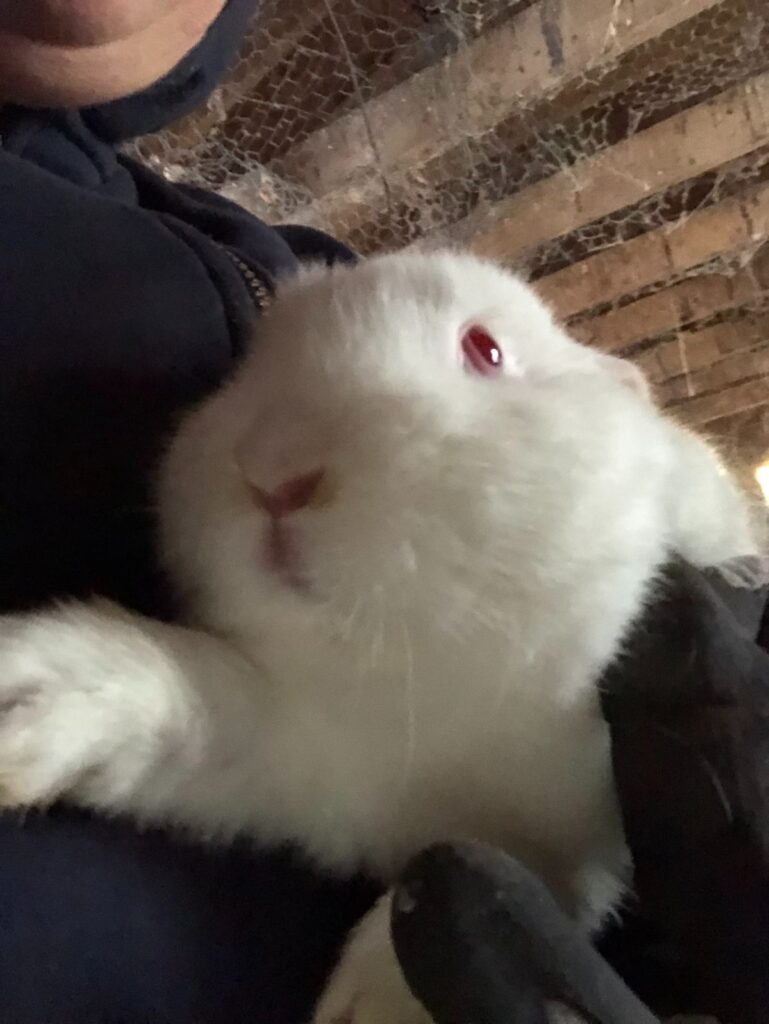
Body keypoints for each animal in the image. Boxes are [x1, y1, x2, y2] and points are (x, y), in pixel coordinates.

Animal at [0, 250, 760, 1024]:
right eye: (255, 363)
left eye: (484, 349)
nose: (273, 470)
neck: (419, 656)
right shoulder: (303, 745)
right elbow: (201, 704)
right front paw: (26, 702)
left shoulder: (573, 825)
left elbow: (503, 867)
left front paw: (372, 1004)